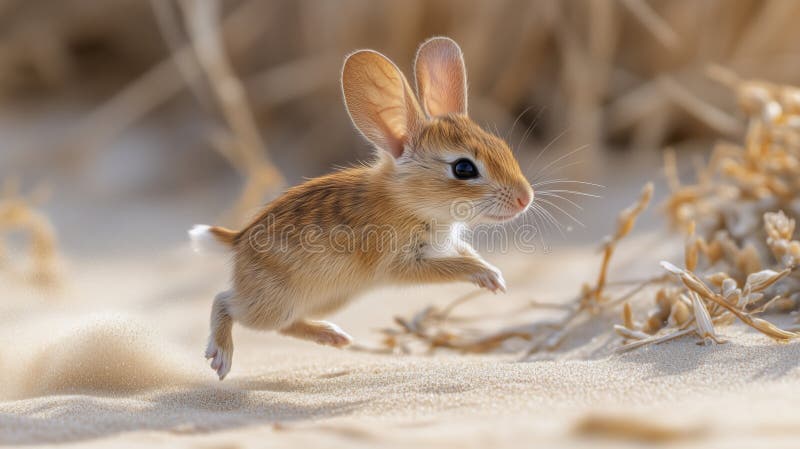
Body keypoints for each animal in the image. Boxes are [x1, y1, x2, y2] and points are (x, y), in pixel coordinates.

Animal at [189, 37, 534, 380]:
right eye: (463, 168)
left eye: (502, 147)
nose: (525, 198)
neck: (408, 200)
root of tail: (237, 240)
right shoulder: (402, 264)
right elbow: (454, 266)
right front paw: (487, 275)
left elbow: (465, 252)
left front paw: (495, 278)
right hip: (274, 302)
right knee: (226, 303)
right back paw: (221, 357)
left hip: (327, 299)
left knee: (284, 324)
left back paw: (333, 336)